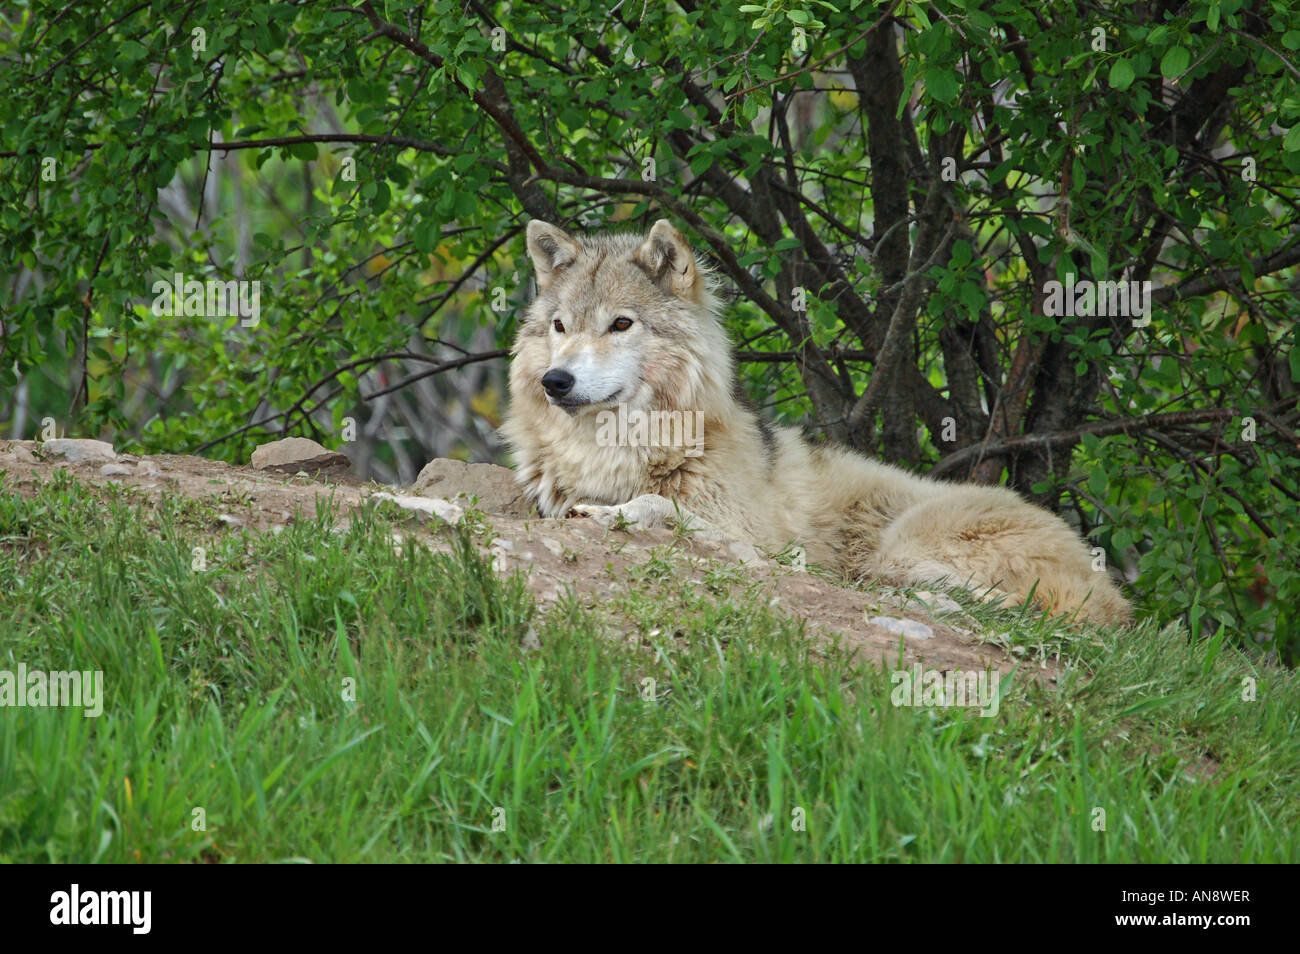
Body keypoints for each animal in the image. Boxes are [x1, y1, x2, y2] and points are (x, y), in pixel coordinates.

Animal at [502, 219, 1131, 626]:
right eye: (559, 326)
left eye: (621, 324)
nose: (555, 381)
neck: (615, 450)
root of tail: (1115, 597)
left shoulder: (757, 536)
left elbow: (663, 506)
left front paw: (613, 511)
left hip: (902, 548)